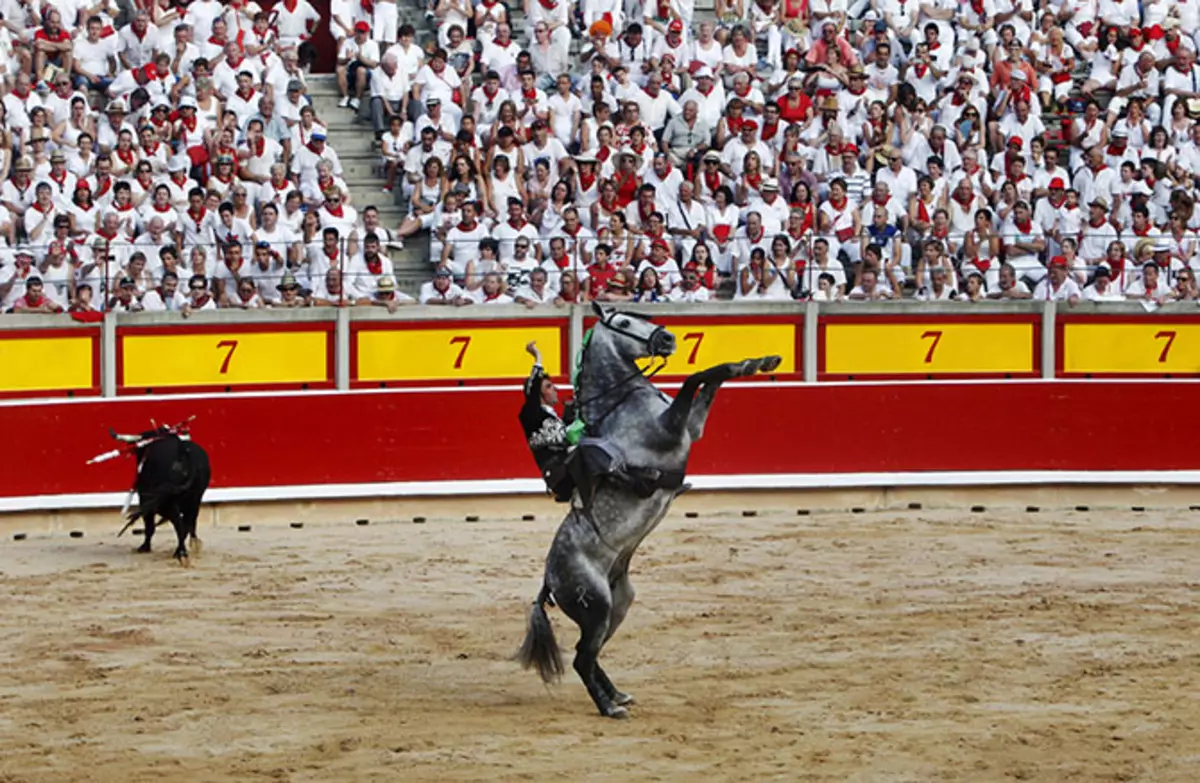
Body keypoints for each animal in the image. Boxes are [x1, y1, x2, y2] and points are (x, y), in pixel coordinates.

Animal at [121, 434, 211, 562]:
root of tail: (184, 453)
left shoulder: (147, 501)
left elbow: (150, 526)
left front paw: (144, 547)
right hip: (195, 501)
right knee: (187, 524)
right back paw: (183, 550)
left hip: (168, 503)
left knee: (179, 525)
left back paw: (180, 552)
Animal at [518, 302, 782, 720]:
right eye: (625, 322)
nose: (669, 338)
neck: (623, 401)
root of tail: (548, 580)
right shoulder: (670, 429)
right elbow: (696, 378)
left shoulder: (692, 427)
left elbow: (709, 384)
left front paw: (756, 363)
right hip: (594, 604)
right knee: (581, 658)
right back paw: (610, 708)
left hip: (618, 603)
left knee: (590, 654)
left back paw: (617, 695)